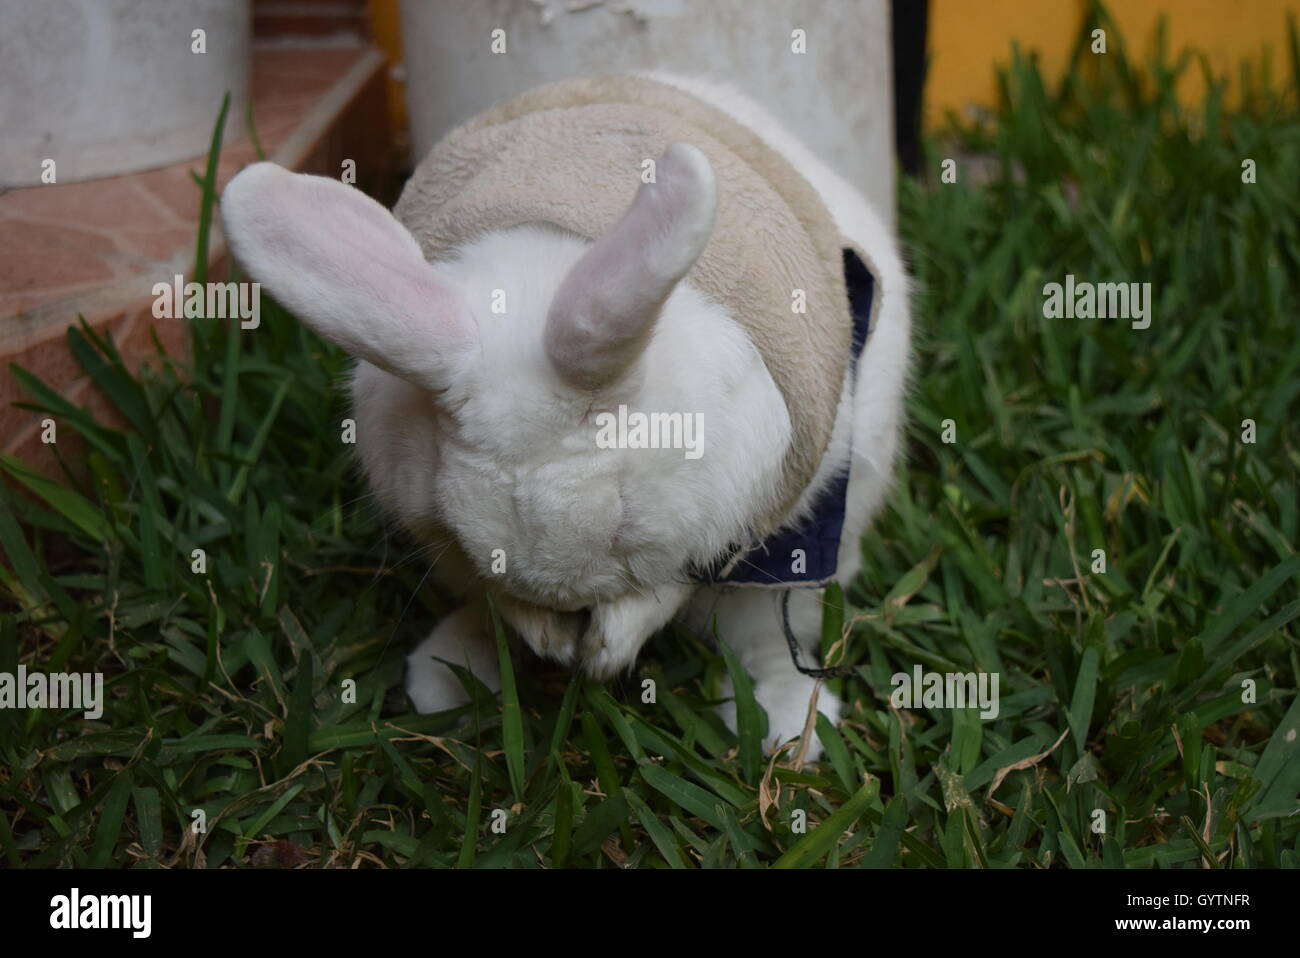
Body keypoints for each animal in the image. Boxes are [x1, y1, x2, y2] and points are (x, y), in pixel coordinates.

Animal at [220, 72, 912, 761]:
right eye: (461, 526)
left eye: (624, 525)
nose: (563, 603)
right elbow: (498, 596)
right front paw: (546, 638)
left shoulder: (742, 498)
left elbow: (665, 592)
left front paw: (605, 651)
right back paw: (449, 680)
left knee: (768, 632)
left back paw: (784, 730)